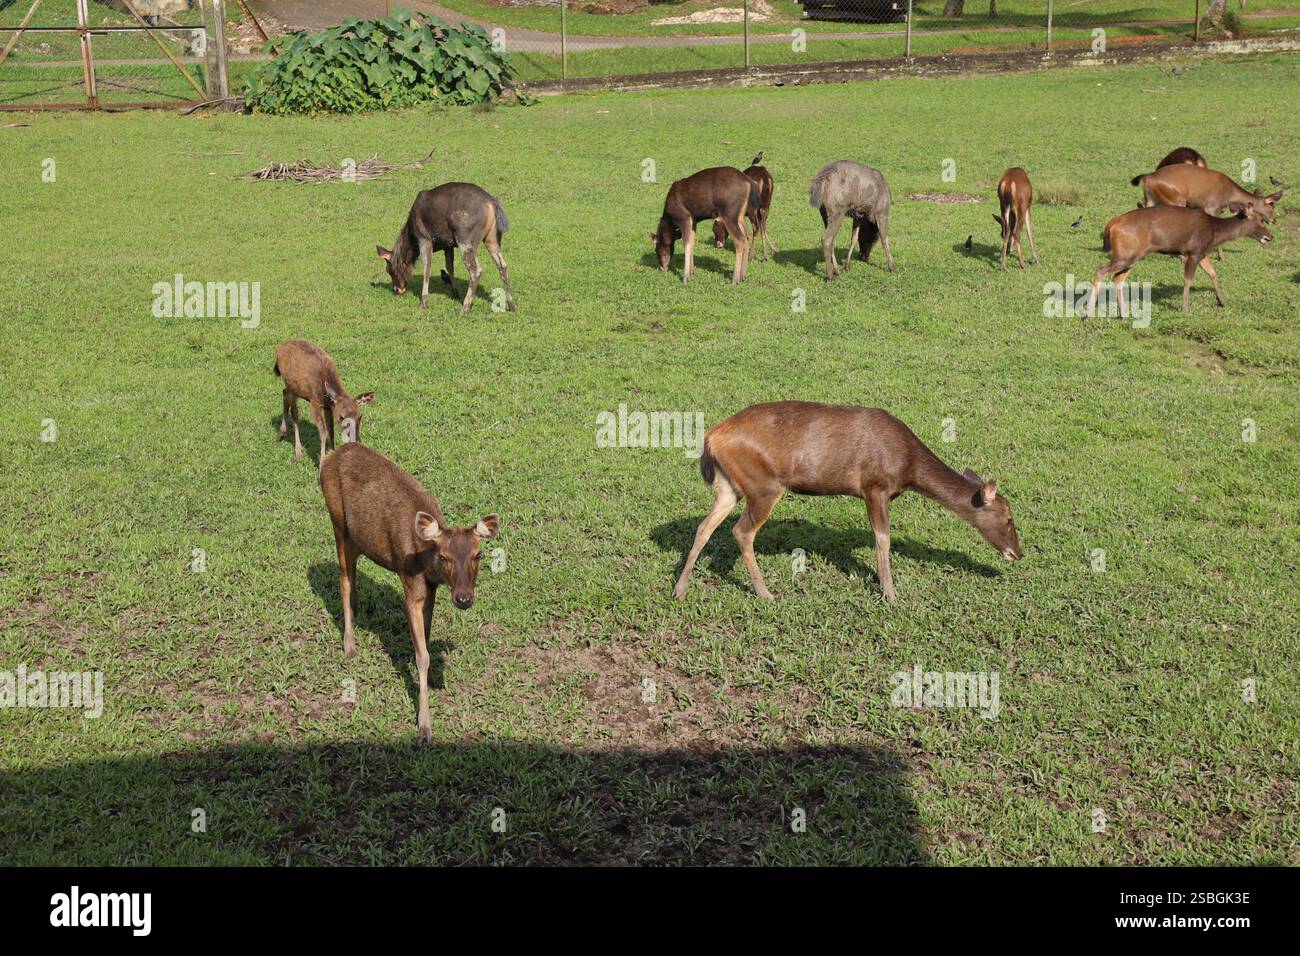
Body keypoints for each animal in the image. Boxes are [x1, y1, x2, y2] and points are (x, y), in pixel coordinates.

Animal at [274, 339, 374, 469]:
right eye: (341, 417)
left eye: (360, 416)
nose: (356, 440)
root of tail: (279, 348)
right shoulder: (314, 402)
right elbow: (323, 432)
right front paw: (321, 462)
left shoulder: (328, 407)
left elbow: (331, 431)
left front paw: (332, 453)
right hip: (290, 384)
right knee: (294, 411)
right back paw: (298, 451)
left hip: (292, 387)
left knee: (284, 393)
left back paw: (281, 433)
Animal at [319, 443, 499, 745]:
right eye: (444, 556)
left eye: (478, 555)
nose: (463, 598)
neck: (426, 563)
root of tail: (330, 457)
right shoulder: (410, 585)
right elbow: (421, 655)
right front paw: (424, 728)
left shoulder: (431, 590)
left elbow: (426, 641)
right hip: (337, 520)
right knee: (344, 578)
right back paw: (349, 645)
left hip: (357, 538)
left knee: (353, 571)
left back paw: (355, 615)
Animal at [377, 182, 516, 317]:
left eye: (389, 270)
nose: (397, 289)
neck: (412, 240)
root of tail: (492, 203)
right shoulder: (447, 245)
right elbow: (450, 266)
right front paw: (455, 292)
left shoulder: (424, 239)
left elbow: (426, 268)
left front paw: (424, 302)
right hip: (492, 238)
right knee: (502, 265)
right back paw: (512, 306)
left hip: (466, 238)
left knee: (475, 269)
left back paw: (464, 309)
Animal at [671, 401, 1021, 603]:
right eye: (1008, 517)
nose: (1018, 553)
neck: (909, 470)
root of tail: (712, 437)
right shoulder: (875, 487)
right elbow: (883, 537)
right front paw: (890, 594)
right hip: (765, 485)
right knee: (741, 531)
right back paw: (766, 593)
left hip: (729, 485)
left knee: (705, 526)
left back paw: (680, 588)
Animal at [1085, 204, 1273, 318]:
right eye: (1261, 219)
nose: (1269, 237)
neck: (1214, 233)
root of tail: (1111, 226)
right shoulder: (1193, 252)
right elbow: (1188, 280)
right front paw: (1185, 309)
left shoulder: (1201, 253)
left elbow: (1212, 272)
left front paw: (1221, 301)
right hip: (1126, 255)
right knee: (1101, 270)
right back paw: (1087, 312)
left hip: (1131, 256)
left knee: (1117, 278)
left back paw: (1123, 313)